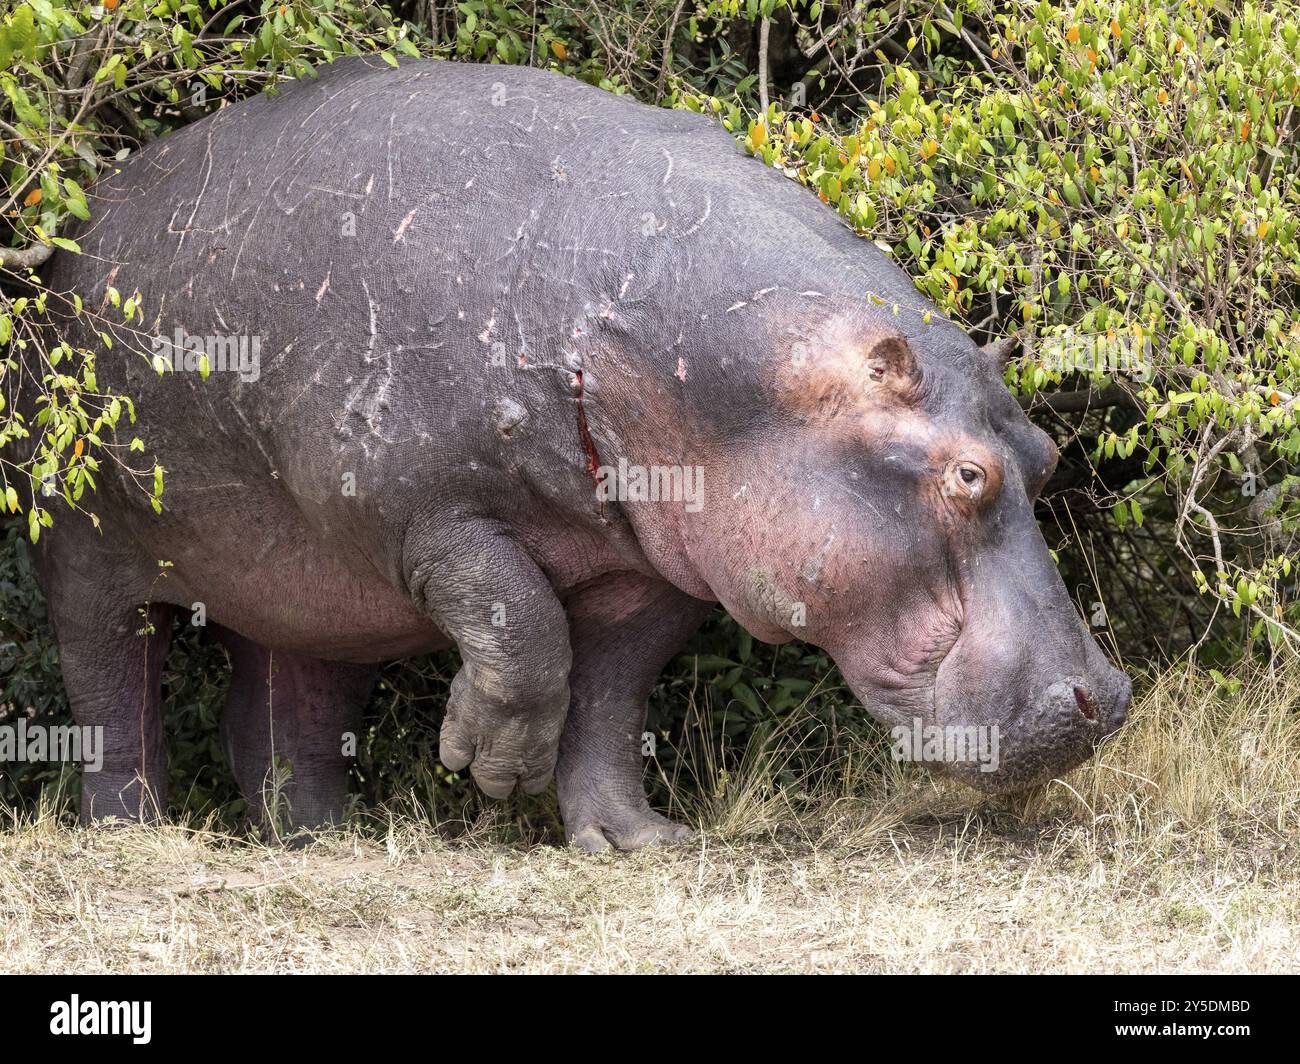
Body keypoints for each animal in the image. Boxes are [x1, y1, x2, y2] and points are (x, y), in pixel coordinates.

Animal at [25, 57, 1130, 850]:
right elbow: (522, 622)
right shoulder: (419, 512)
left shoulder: (658, 571)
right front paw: (487, 769)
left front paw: (637, 841)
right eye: (966, 475)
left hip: (309, 585)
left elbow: (609, 695)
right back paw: (131, 832)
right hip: (87, 544)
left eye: (1043, 454)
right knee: (109, 680)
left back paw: (325, 838)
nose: (1104, 698)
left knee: (283, 704)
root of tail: (79, 231)